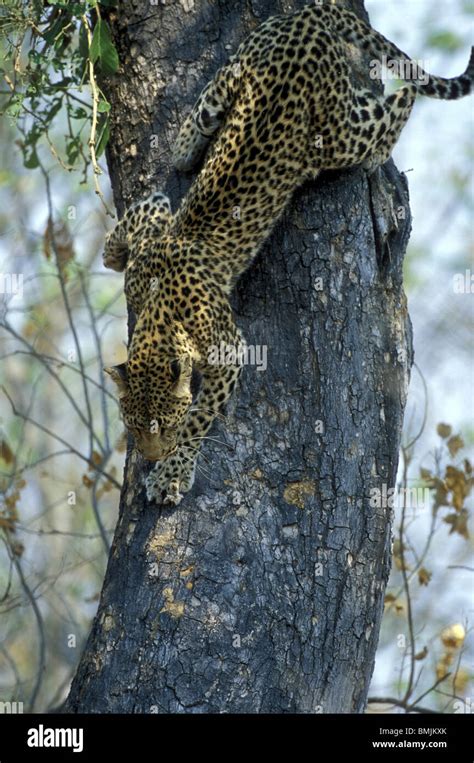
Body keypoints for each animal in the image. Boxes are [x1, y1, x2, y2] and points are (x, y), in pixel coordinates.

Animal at [103, 2, 473, 506]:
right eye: (133, 425)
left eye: (163, 424)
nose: (151, 454)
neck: (161, 313)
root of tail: (306, 18)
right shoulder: (153, 228)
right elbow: (143, 210)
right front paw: (110, 251)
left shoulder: (229, 349)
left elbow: (202, 416)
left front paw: (173, 473)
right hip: (238, 74)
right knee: (209, 107)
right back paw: (186, 145)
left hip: (340, 133)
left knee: (401, 99)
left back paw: (381, 147)